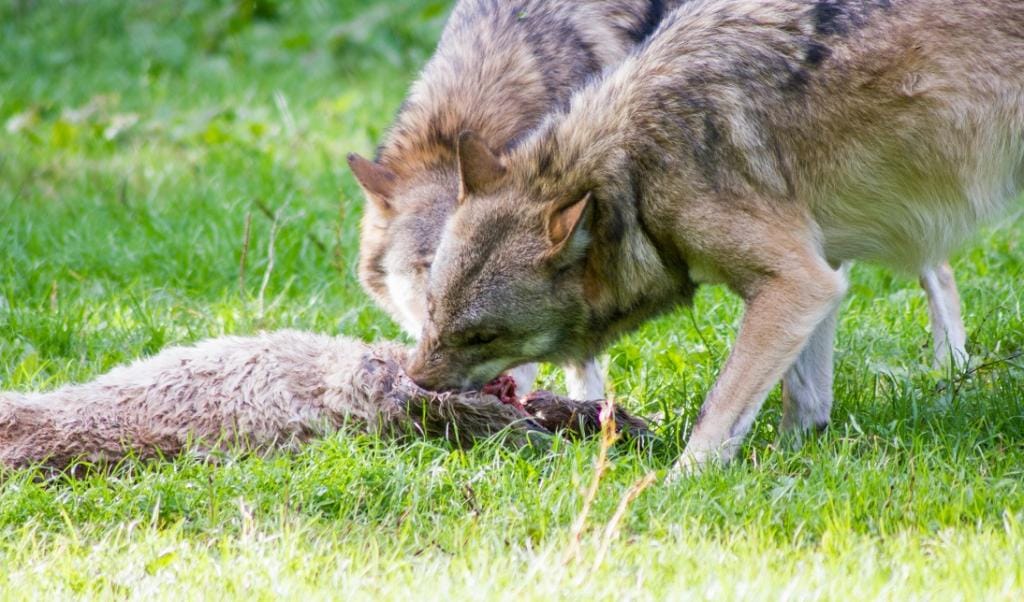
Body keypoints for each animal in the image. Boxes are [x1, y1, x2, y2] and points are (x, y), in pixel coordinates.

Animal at [405, 0, 1024, 471]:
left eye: (483, 336)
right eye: (431, 307)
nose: (415, 384)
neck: (634, 173)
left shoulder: (797, 282)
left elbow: (718, 409)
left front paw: (680, 483)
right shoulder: (819, 274)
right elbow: (805, 400)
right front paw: (791, 460)